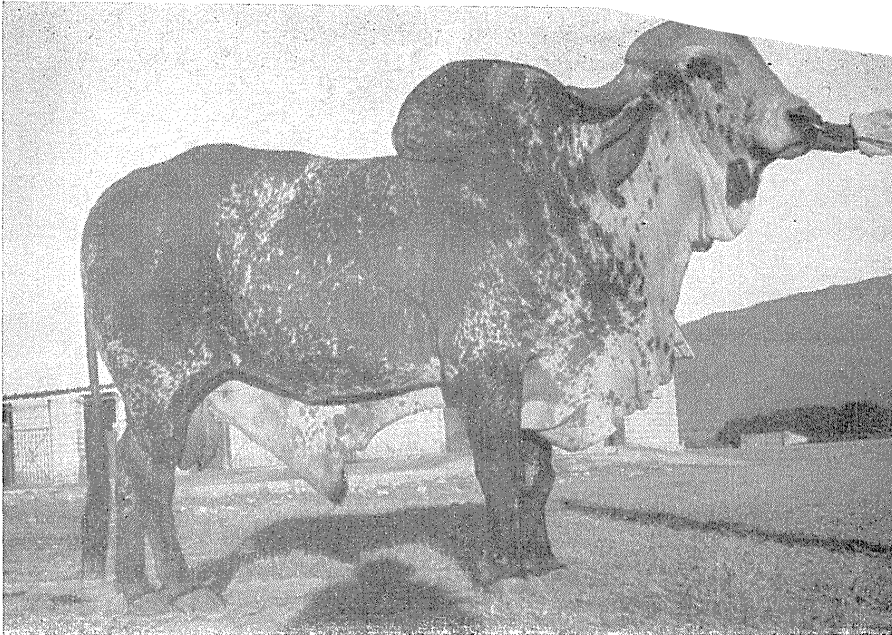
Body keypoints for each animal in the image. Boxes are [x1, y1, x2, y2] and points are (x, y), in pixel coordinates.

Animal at [81, 20, 876, 611]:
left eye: (762, 56)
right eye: (705, 67)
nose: (804, 117)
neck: (573, 194)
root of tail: (103, 208)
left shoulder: (538, 378)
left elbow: (537, 472)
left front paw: (541, 560)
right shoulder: (486, 367)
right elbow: (498, 469)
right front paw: (505, 570)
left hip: (167, 390)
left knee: (122, 463)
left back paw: (132, 584)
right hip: (161, 384)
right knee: (149, 469)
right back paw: (177, 585)